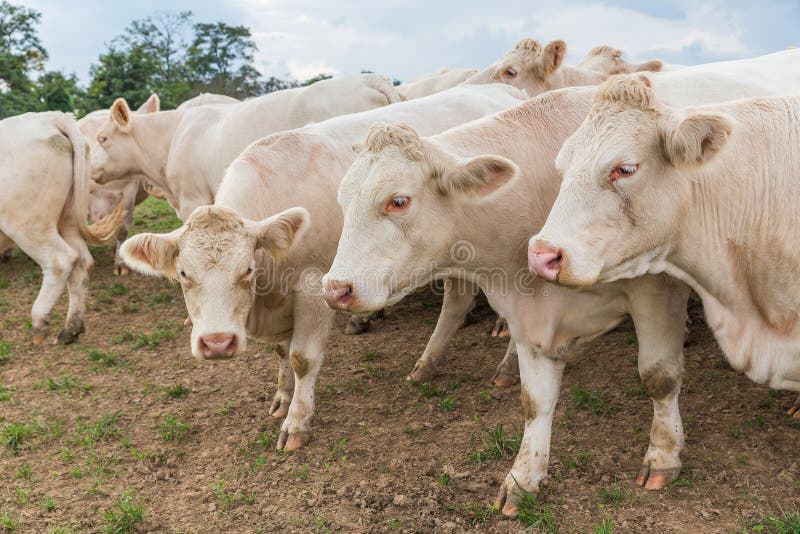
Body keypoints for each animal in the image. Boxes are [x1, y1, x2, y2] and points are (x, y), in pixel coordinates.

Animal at [0, 112, 124, 344]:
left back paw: (40, 323)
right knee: (82, 263)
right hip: (68, 221)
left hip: (28, 224)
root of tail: (50, 118)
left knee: (60, 260)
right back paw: (70, 329)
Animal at [117, 83, 527, 453]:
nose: (217, 342)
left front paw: (297, 421)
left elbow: (302, 358)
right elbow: (281, 353)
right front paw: (282, 397)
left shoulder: (314, 288)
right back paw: (428, 363)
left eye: (246, 269)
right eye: (184, 275)